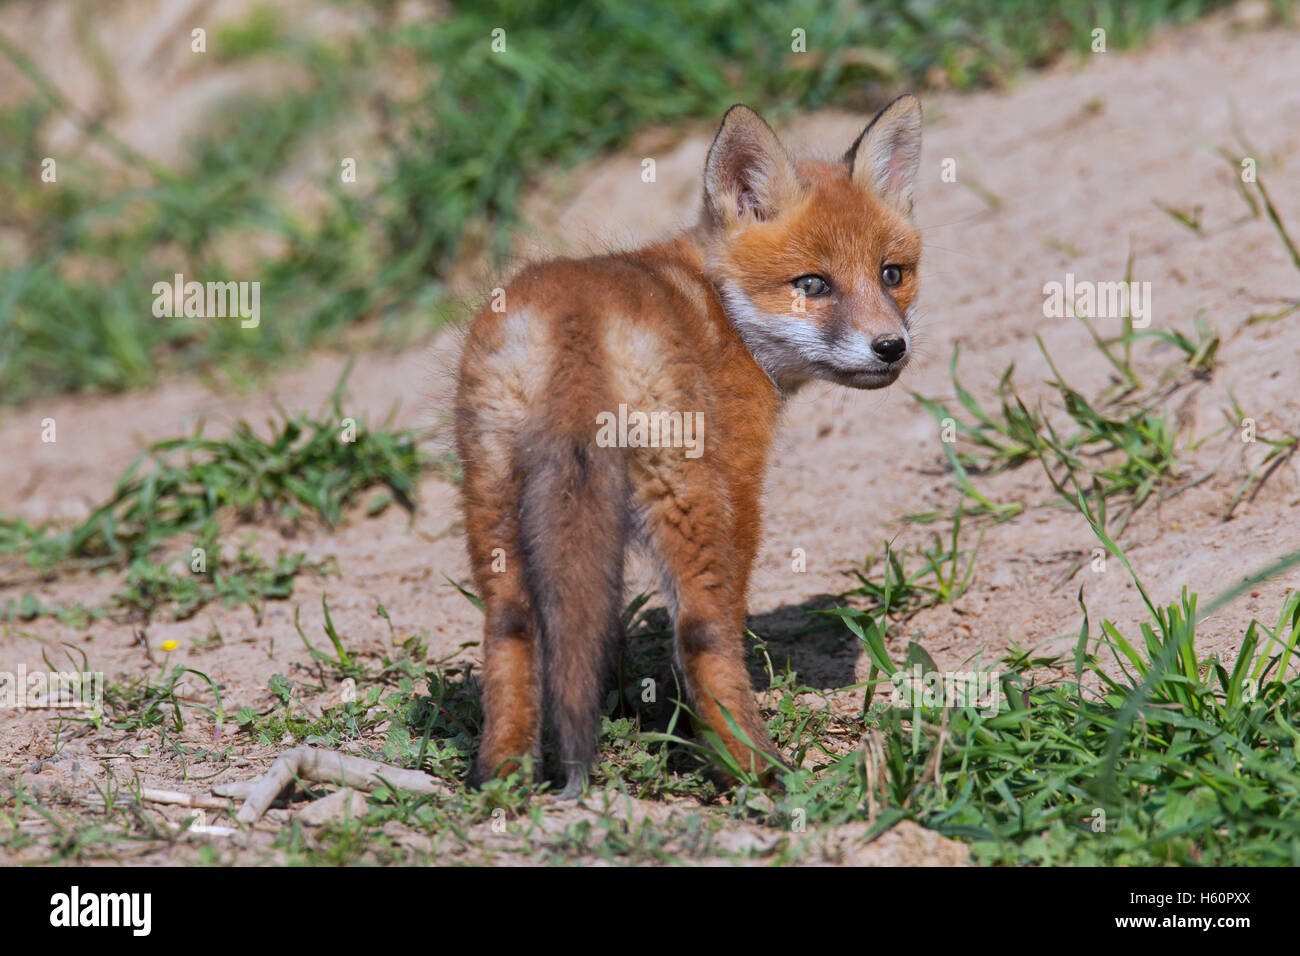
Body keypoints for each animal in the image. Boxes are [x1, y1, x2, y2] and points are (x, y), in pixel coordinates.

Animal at [455, 94, 923, 796]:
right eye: (813, 284)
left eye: (892, 275)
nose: (891, 347)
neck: (721, 311)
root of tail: (576, 315)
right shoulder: (740, 479)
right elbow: (718, 620)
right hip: (685, 494)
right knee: (702, 631)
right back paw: (757, 769)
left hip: (491, 496)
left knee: (510, 627)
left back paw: (503, 776)